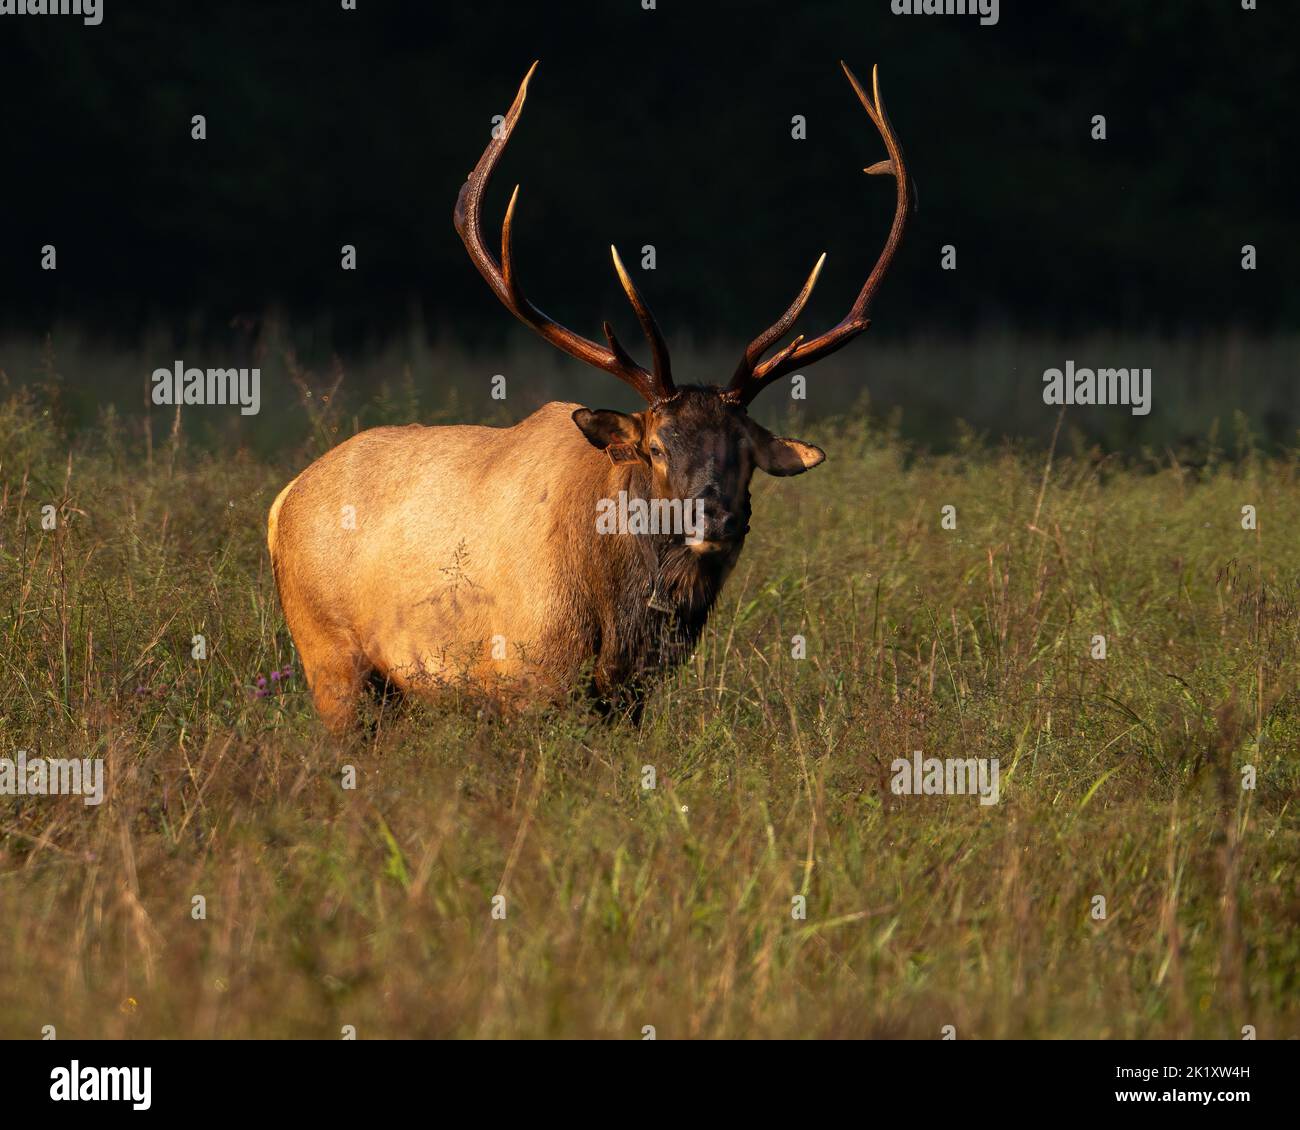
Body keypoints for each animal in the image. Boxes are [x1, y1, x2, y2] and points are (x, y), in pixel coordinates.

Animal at [267, 60, 913, 732]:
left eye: (745, 450)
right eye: (656, 448)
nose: (714, 515)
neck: (618, 617)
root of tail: (281, 504)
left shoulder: (630, 696)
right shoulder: (528, 675)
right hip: (329, 656)